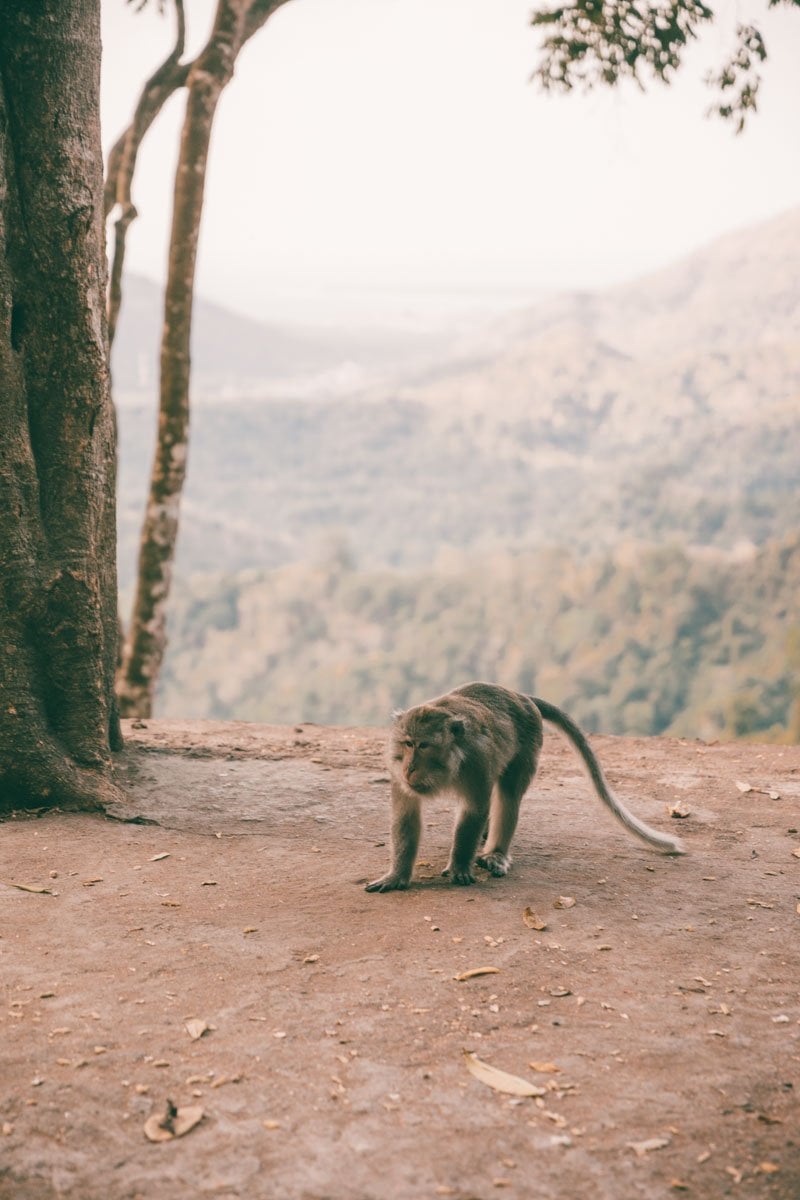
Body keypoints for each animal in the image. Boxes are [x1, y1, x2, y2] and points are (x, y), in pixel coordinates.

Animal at [365, 682, 683, 892]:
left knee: (508, 793)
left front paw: (459, 866)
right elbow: (406, 817)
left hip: (530, 742)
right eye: (406, 743)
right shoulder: (396, 772)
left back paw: (495, 853)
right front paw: (397, 876)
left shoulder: (477, 763)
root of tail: (520, 696)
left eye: (423, 745)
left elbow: (473, 812)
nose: (409, 768)